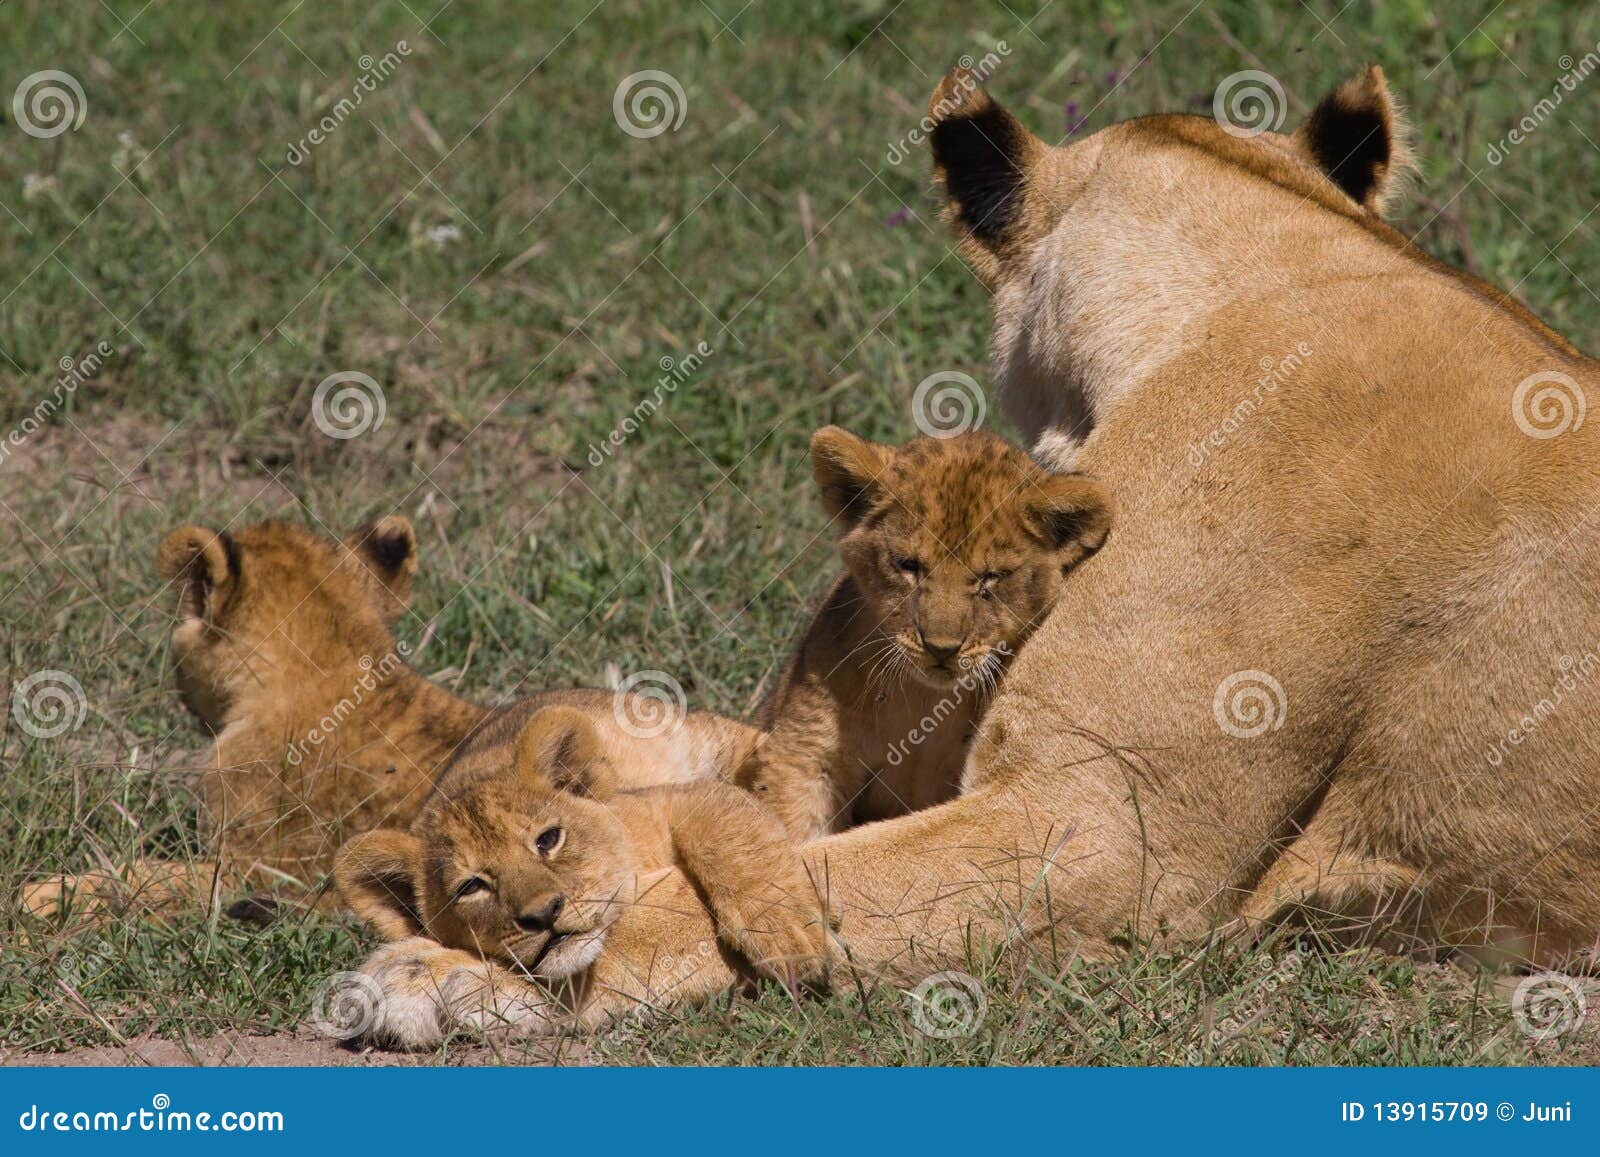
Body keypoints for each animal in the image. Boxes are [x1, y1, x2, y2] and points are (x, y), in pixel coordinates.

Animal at [334, 703, 831, 1047]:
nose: (544, 914)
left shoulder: (676, 798)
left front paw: (789, 936)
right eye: (472, 886)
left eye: (548, 839)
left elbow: (730, 829)